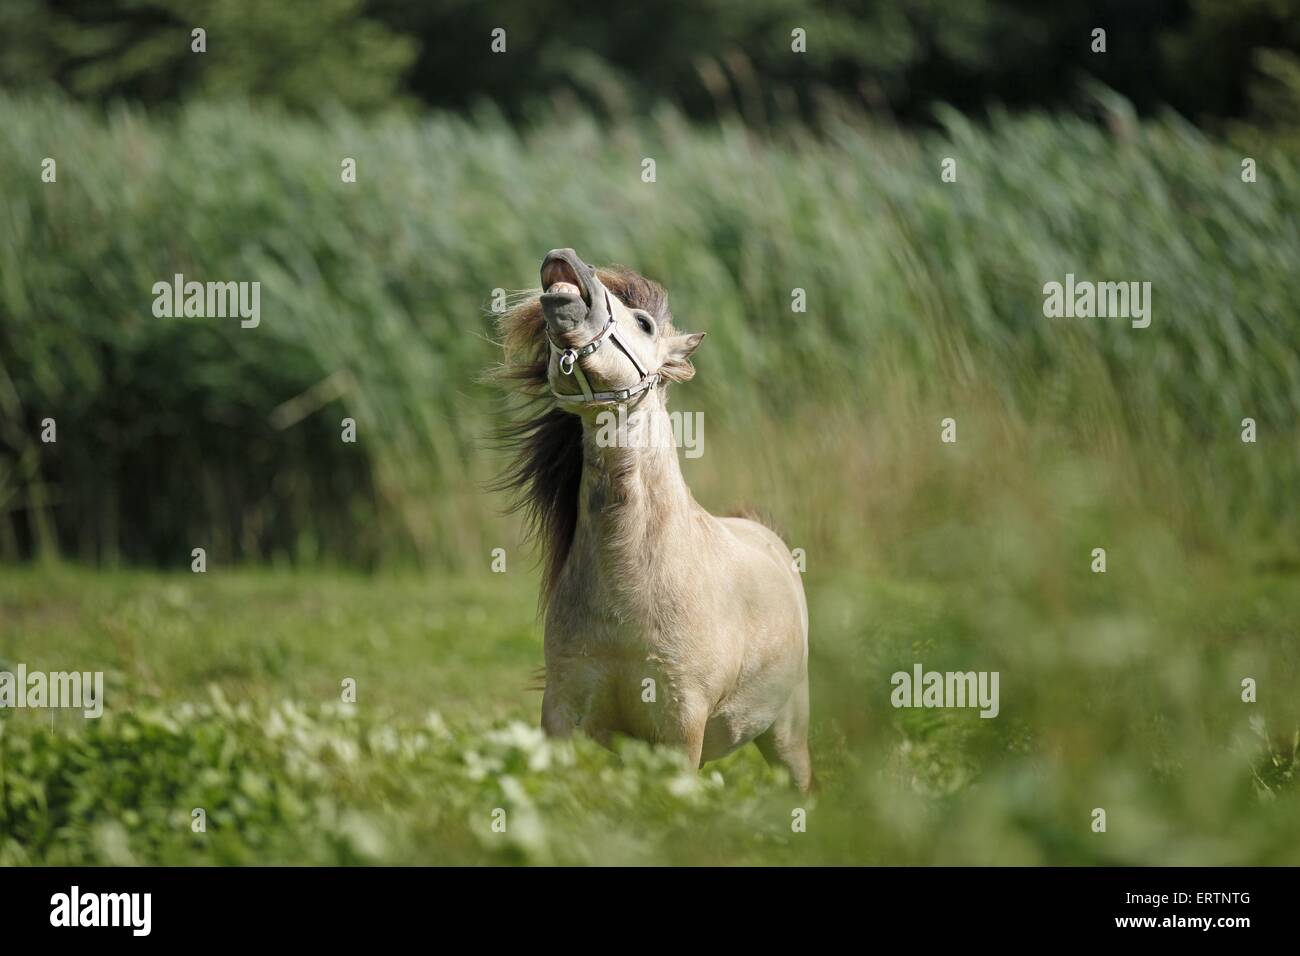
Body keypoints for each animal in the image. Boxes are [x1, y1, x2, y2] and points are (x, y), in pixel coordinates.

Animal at [493, 248, 814, 792]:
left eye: (642, 322)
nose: (563, 261)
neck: (631, 581)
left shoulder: (680, 725)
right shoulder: (562, 714)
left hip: (787, 736)